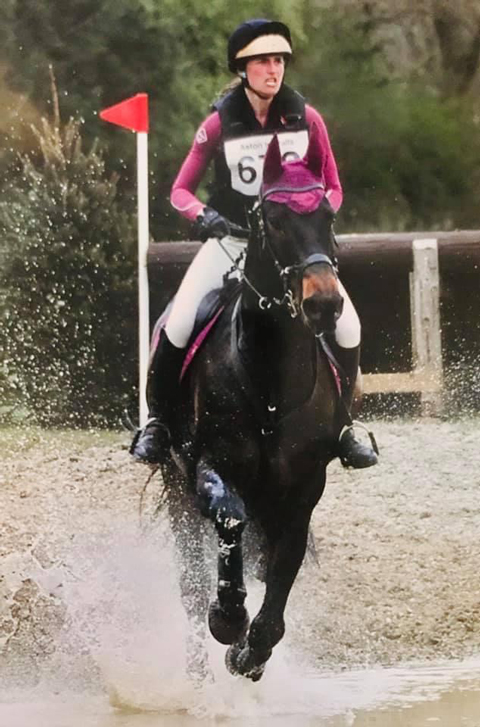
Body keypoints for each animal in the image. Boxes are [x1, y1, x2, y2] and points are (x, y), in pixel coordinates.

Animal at [161, 124, 344, 683]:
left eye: (327, 216)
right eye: (275, 220)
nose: (325, 303)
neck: (270, 381)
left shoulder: (304, 488)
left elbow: (283, 567)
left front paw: (253, 650)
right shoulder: (211, 467)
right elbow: (229, 521)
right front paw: (229, 618)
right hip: (176, 490)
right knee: (190, 585)